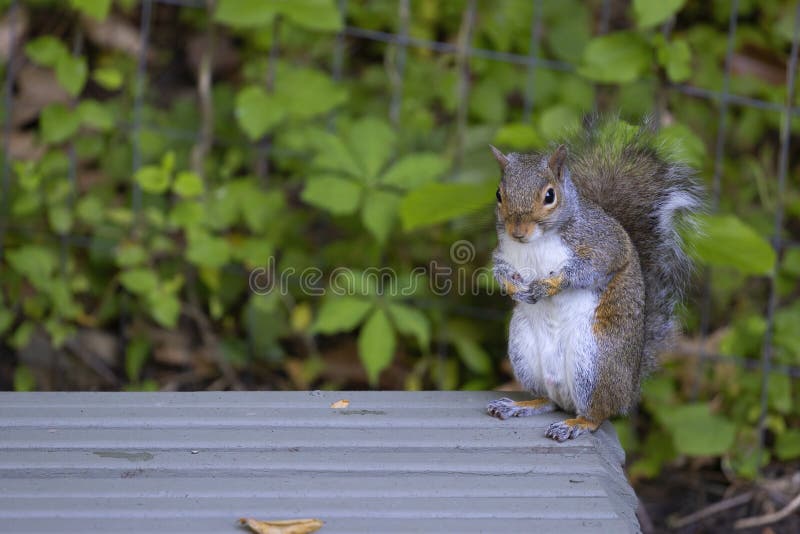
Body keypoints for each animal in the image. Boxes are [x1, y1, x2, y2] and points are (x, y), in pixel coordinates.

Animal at [486, 116, 703, 442]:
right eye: (499, 194)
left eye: (549, 195)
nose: (518, 231)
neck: (536, 242)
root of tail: (629, 389)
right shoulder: (504, 254)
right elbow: (501, 270)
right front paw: (515, 289)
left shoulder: (603, 243)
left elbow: (591, 268)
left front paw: (547, 285)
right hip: (524, 353)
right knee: (548, 400)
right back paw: (521, 406)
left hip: (594, 362)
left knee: (597, 414)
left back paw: (575, 424)